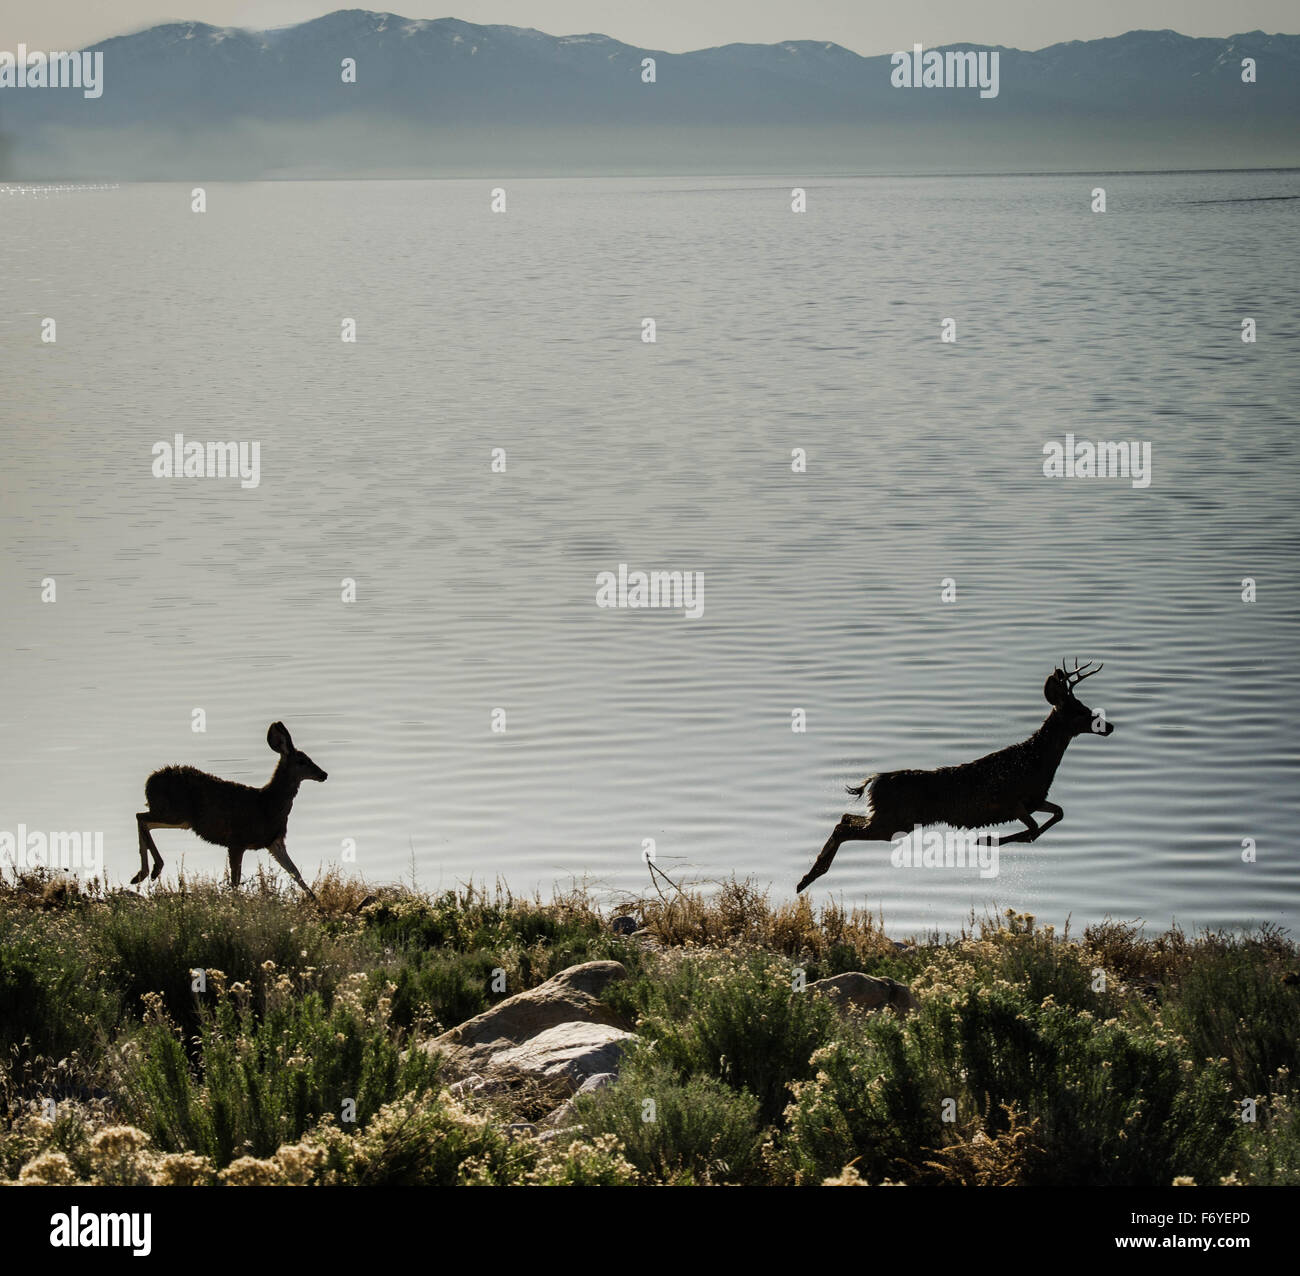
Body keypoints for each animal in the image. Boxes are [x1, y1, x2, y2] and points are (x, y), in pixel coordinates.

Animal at [133, 722, 326, 900]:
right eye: (302, 761)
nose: (324, 774)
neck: (269, 803)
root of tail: (149, 782)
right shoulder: (237, 841)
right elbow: (235, 881)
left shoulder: (273, 841)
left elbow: (295, 872)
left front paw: (316, 902)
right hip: (172, 812)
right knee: (140, 817)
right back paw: (151, 870)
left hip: (180, 819)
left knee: (144, 820)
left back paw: (143, 874)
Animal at [797, 661, 1113, 893]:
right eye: (1081, 710)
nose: (1108, 726)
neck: (1036, 764)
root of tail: (874, 779)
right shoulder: (1011, 801)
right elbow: (1035, 828)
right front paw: (987, 840)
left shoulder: (1035, 800)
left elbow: (1057, 814)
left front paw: (991, 840)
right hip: (894, 822)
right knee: (844, 827)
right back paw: (808, 878)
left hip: (889, 819)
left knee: (844, 818)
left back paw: (808, 877)